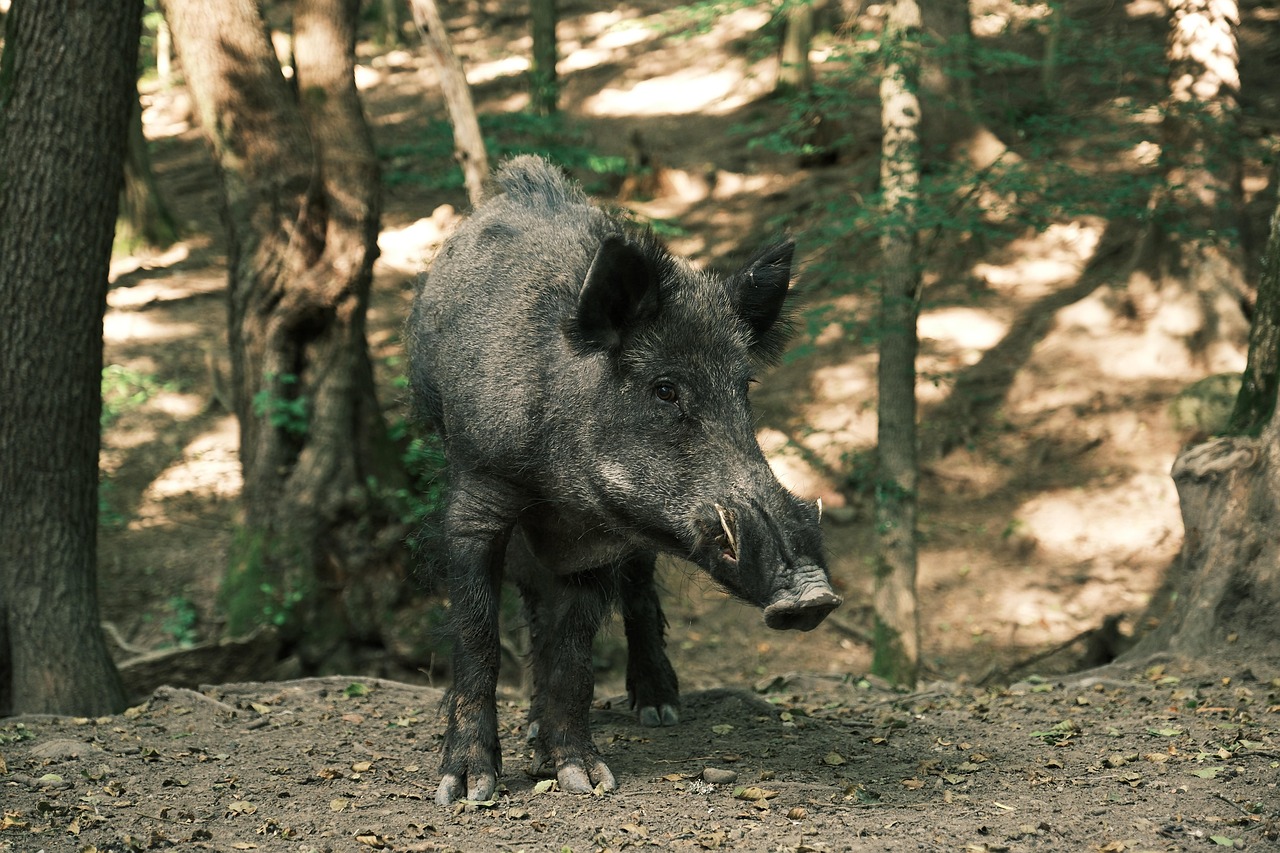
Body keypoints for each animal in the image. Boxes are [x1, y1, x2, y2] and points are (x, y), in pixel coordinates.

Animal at [407, 155, 841, 805]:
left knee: (634, 593)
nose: (813, 595)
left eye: (744, 389)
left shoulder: (597, 544)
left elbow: (575, 656)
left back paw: (658, 710)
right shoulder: (478, 489)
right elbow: (477, 631)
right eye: (665, 388)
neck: (555, 482)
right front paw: (467, 791)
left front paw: (585, 780)